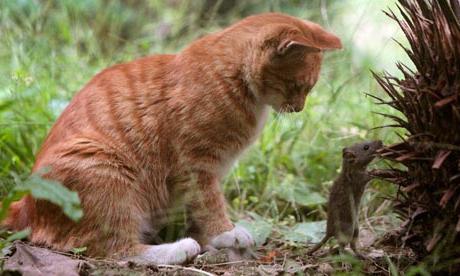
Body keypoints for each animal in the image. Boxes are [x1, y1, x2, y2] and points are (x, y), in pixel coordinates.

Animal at [3, 12, 342, 264]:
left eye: (308, 89)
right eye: (299, 86)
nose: (299, 108)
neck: (233, 77)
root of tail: (23, 205)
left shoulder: (204, 171)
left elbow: (199, 210)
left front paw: (213, 240)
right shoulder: (196, 164)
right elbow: (210, 203)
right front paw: (225, 233)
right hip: (105, 172)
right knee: (114, 249)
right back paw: (179, 248)